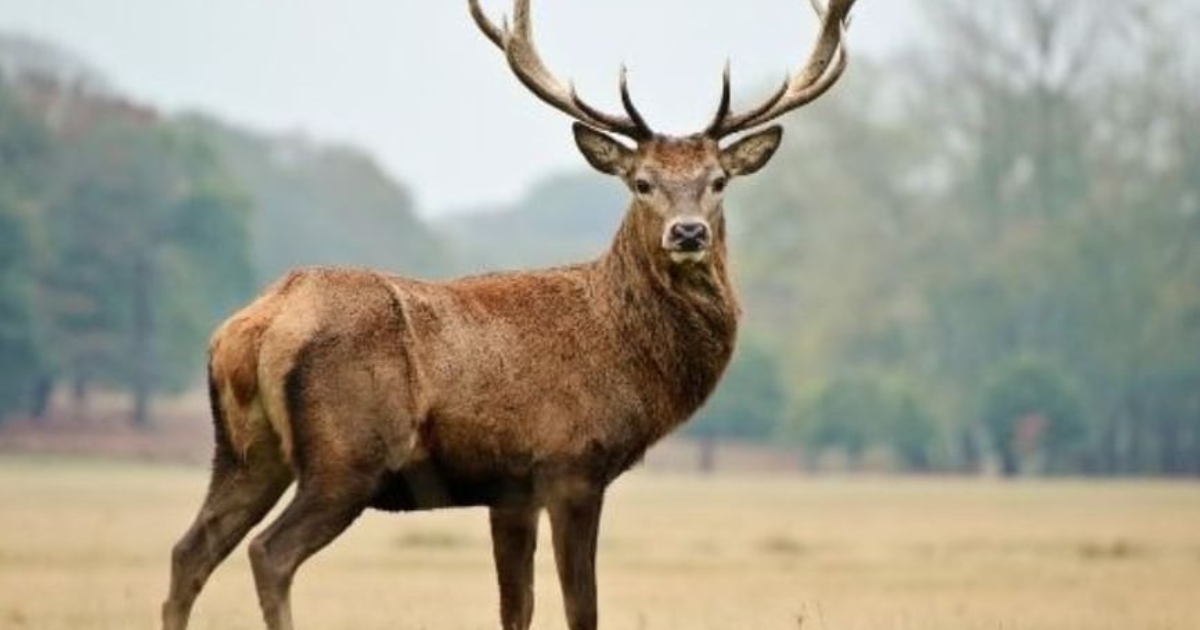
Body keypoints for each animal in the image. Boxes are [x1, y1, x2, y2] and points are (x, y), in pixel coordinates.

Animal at [161, 1, 856, 629]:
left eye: (718, 181)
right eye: (641, 182)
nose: (687, 233)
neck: (627, 355)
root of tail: (255, 324)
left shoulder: (509, 490)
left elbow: (516, 608)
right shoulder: (572, 465)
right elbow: (581, 609)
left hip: (246, 452)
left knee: (189, 551)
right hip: (346, 455)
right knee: (268, 554)